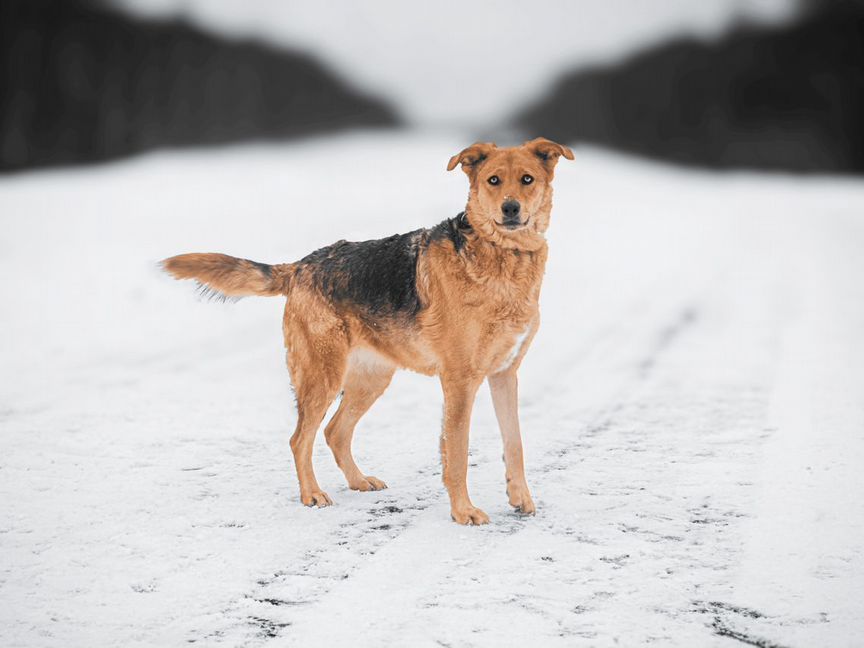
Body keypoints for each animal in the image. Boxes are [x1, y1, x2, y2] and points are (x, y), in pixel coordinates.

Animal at [163, 138, 572, 528]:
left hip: (371, 380)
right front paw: (463, 512)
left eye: (527, 179)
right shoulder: (460, 381)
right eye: (493, 181)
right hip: (323, 378)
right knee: (300, 438)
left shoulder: (504, 375)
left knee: (334, 432)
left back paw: (358, 481)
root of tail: (300, 267)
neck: (503, 257)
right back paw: (312, 494)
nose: (510, 209)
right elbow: (456, 452)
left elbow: (514, 443)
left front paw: (520, 499)